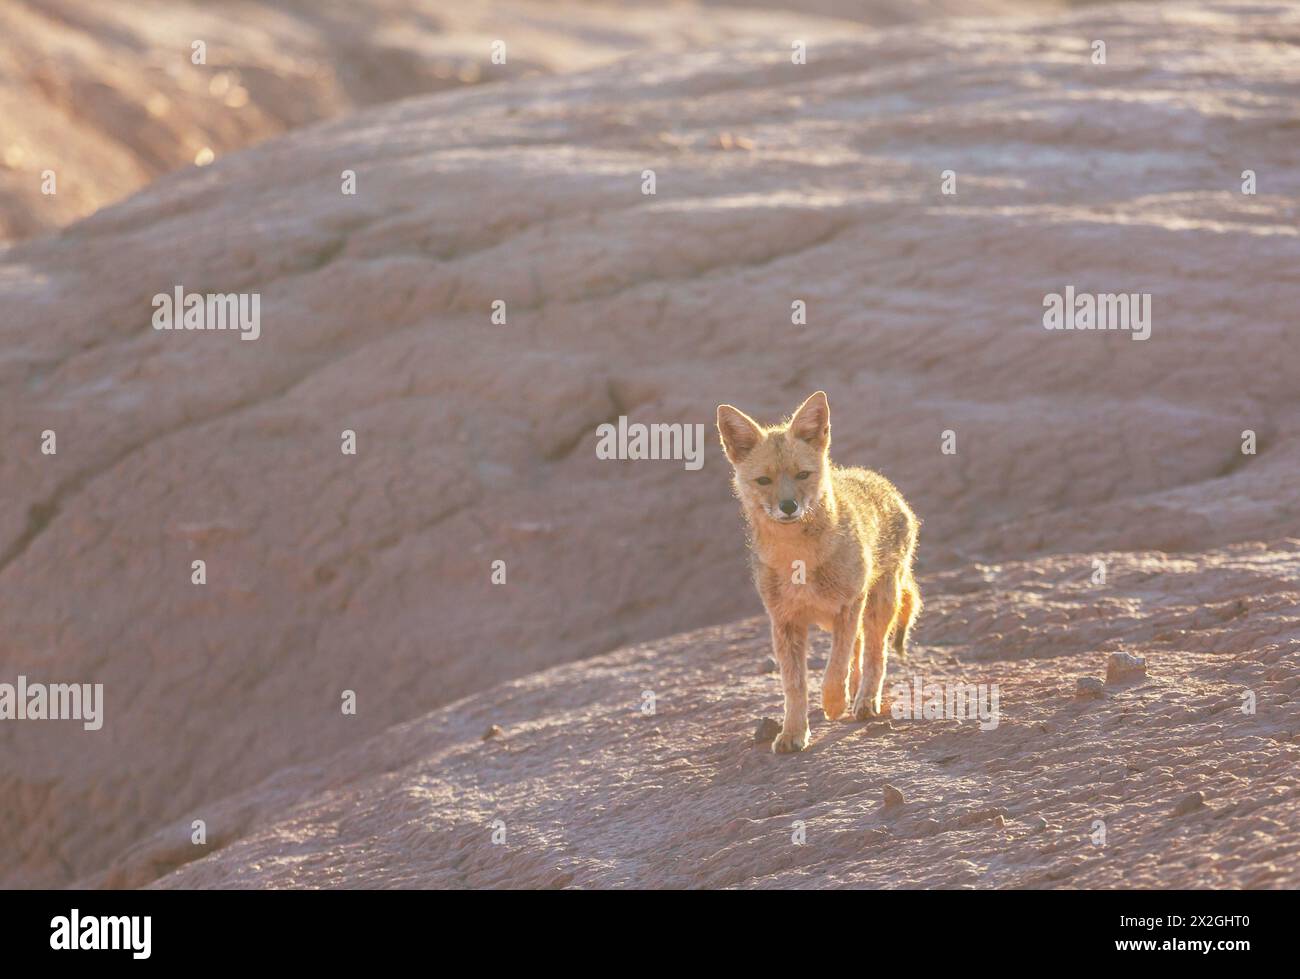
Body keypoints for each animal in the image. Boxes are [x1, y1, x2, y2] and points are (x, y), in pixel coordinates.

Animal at [717, 391, 921, 753]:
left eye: (802, 475)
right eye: (764, 481)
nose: (788, 507)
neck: (799, 561)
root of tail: (883, 483)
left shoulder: (847, 606)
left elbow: (834, 667)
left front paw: (834, 704)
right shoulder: (783, 621)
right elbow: (795, 685)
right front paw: (793, 732)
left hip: (877, 605)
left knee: (875, 654)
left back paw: (865, 701)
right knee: (859, 651)